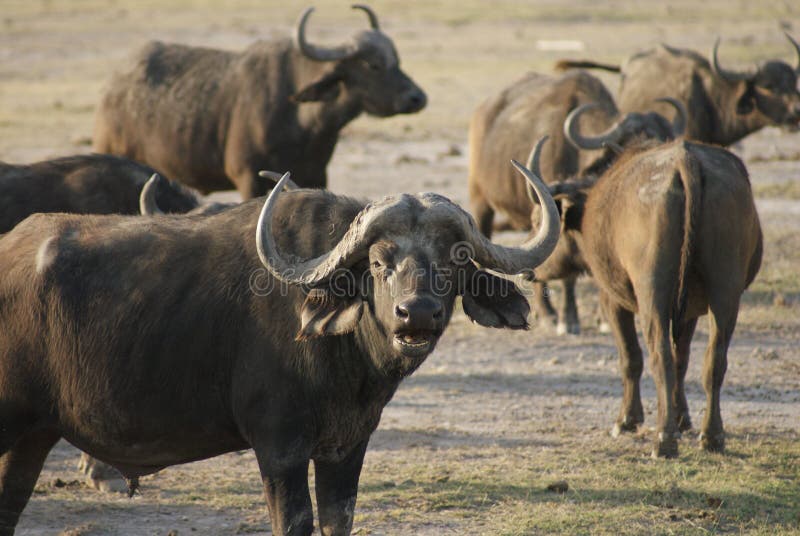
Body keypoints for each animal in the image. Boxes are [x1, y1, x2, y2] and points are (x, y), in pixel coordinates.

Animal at [0, 160, 559, 535]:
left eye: (456, 257)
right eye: (379, 261)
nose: (416, 314)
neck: (347, 365)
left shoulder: (346, 447)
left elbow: (337, 520)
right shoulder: (279, 448)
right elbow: (294, 524)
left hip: (34, 435)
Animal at [93, 5, 427, 199]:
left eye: (397, 59)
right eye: (373, 65)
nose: (417, 98)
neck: (302, 123)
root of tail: (113, 87)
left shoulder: (317, 175)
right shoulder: (249, 179)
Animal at [468, 69, 684, 334]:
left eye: (667, 139)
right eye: (634, 138)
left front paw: (603, 318)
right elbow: (567, 275)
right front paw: (568, 319)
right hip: (480, 199)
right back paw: (547, 314)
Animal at [536, 138, 762, 457]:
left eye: (537, 220)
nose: (532, 269)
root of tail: (686, 160)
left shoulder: (612, 300)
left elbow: (630, 358)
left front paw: (627, 420)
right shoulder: (690, 311)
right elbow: (683, 360)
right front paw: (681, 418)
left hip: (652, 293)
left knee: (659, 356)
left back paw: (663, 440)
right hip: (725, 291)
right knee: (714, 359)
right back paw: (711, 436)